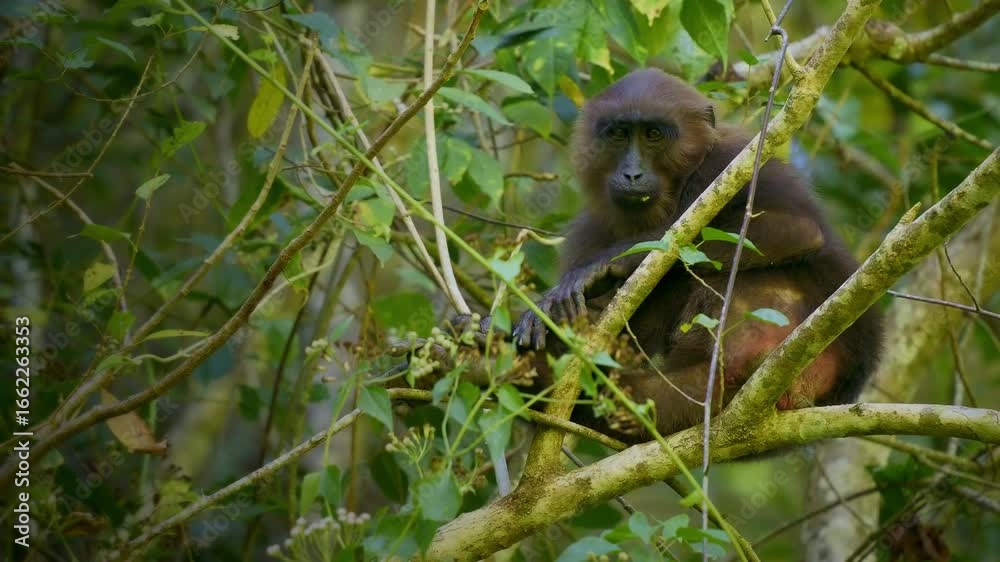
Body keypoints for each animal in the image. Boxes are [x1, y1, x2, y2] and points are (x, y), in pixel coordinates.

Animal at [508, 68, 882, 443]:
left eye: (653, 135)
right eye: (619, 134)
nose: (632, 173)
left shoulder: (732, 161)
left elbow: (798, 230)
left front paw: (605, 266)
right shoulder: (589, 230)